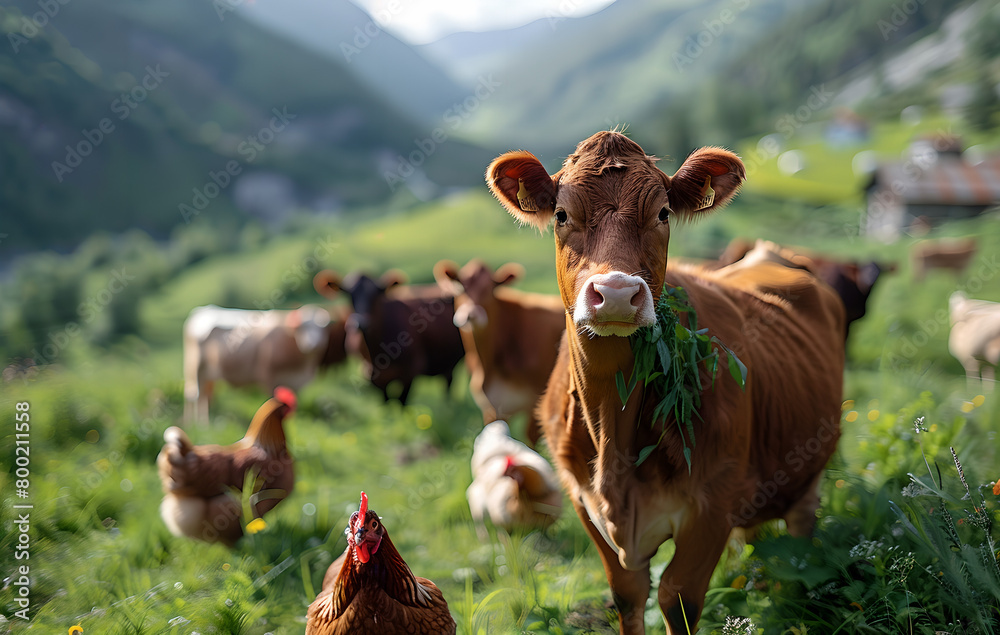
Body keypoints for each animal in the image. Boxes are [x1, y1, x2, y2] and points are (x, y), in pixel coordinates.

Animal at [183, 304, 347, 423]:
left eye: (322, 328)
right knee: (197, 395)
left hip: (207, 374)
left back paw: (193, 421)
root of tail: (203, 310)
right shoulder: (269, 377)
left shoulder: (296, 382)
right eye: (302, 327)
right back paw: (202, 424)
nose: (312, 345)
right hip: (196, 367)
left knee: (199, 394)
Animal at [313, 269, 465, 405]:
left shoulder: (411, 371)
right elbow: (386, 403)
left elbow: (402, 403)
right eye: (349, 295)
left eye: (375, 295)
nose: (361, 322)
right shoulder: (372, 376)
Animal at [486, 131, 845, 634]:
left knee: (800, 534)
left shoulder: (713, 502)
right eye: (561, 215)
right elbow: (628, 594)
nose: (616, 292)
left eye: (663, 213)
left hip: (809, 470)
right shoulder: (582, 501)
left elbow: (677, 597)